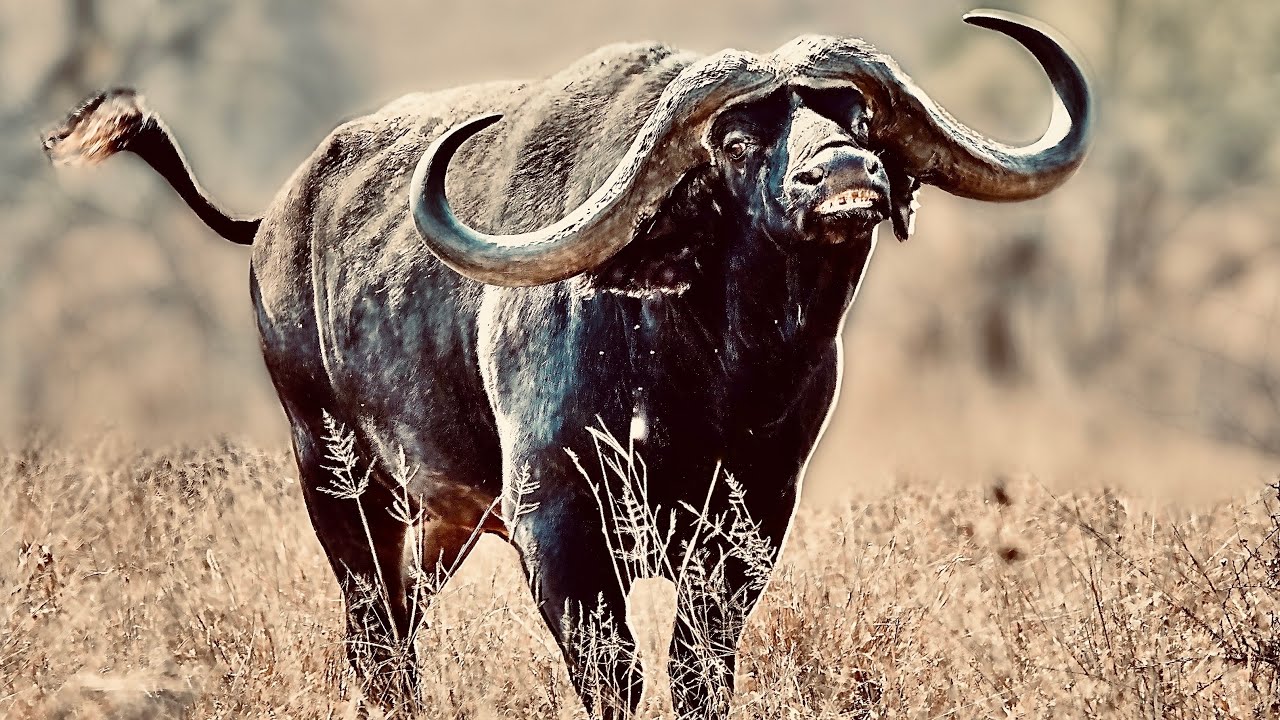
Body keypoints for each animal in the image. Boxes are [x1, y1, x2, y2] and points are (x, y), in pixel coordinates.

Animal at [43, 10, 1092, 719]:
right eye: (738, 137)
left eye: (856, 118)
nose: (842, 176)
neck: (712, 372)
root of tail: (277, 221)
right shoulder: (558, 526)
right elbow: (612, 670)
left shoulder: (752, 521)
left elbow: (699, 668)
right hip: (333, 474)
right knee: (375, 635)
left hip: (441, 520)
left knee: (404, 622)